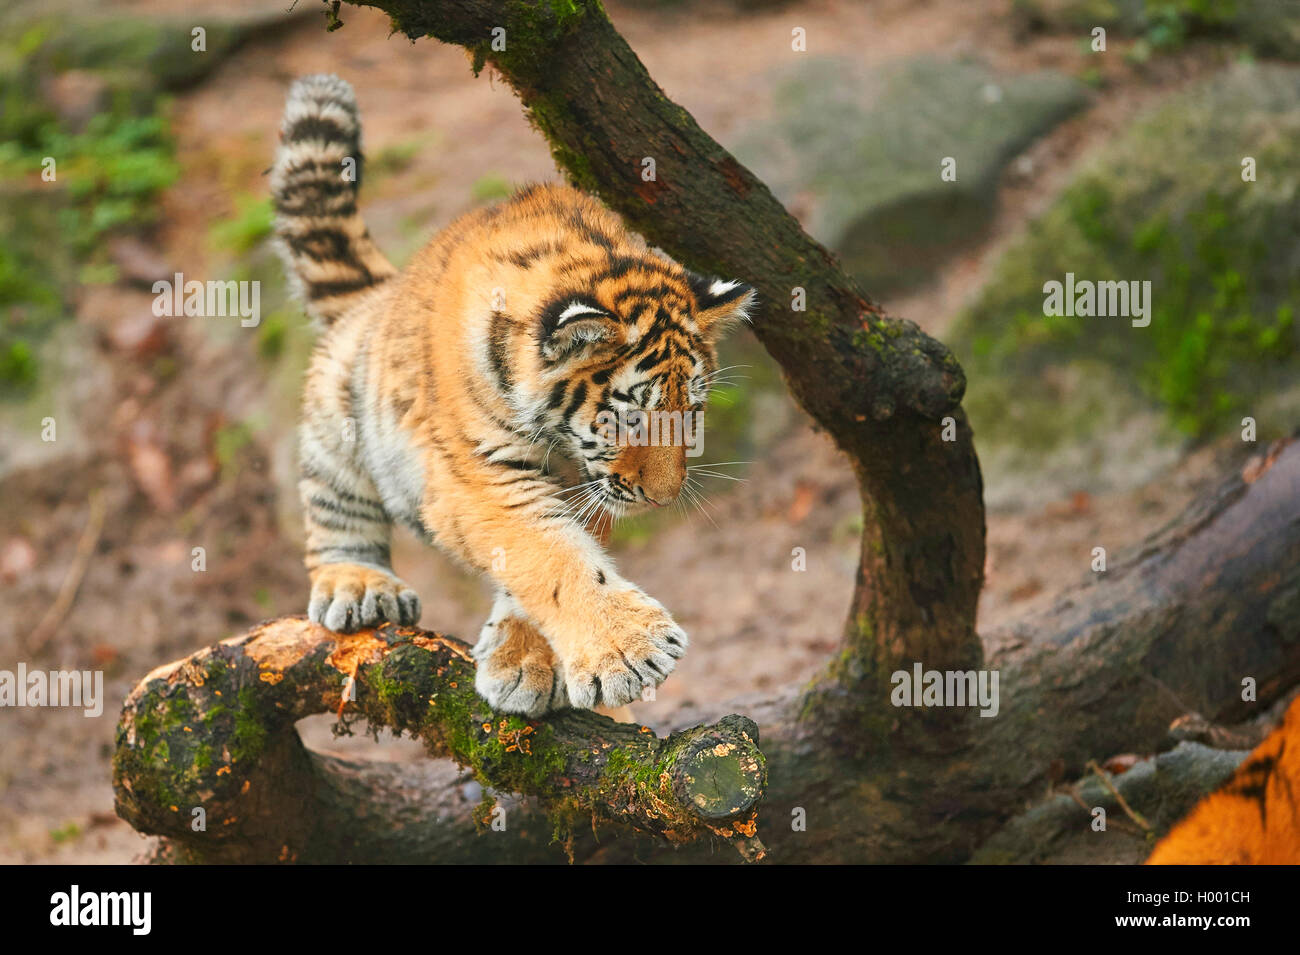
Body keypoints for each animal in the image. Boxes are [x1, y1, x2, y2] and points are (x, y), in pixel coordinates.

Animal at [269, 75, 755, 717]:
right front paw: (630, 652)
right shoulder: (474, 473)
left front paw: (526, 662)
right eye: (629, 418)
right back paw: (357, 584)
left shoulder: (586, 486)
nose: (663, 498)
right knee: (335, 515)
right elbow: (544, 550)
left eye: (691, 412)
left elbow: (560, 551)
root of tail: (379, 297)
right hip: (336, 415)